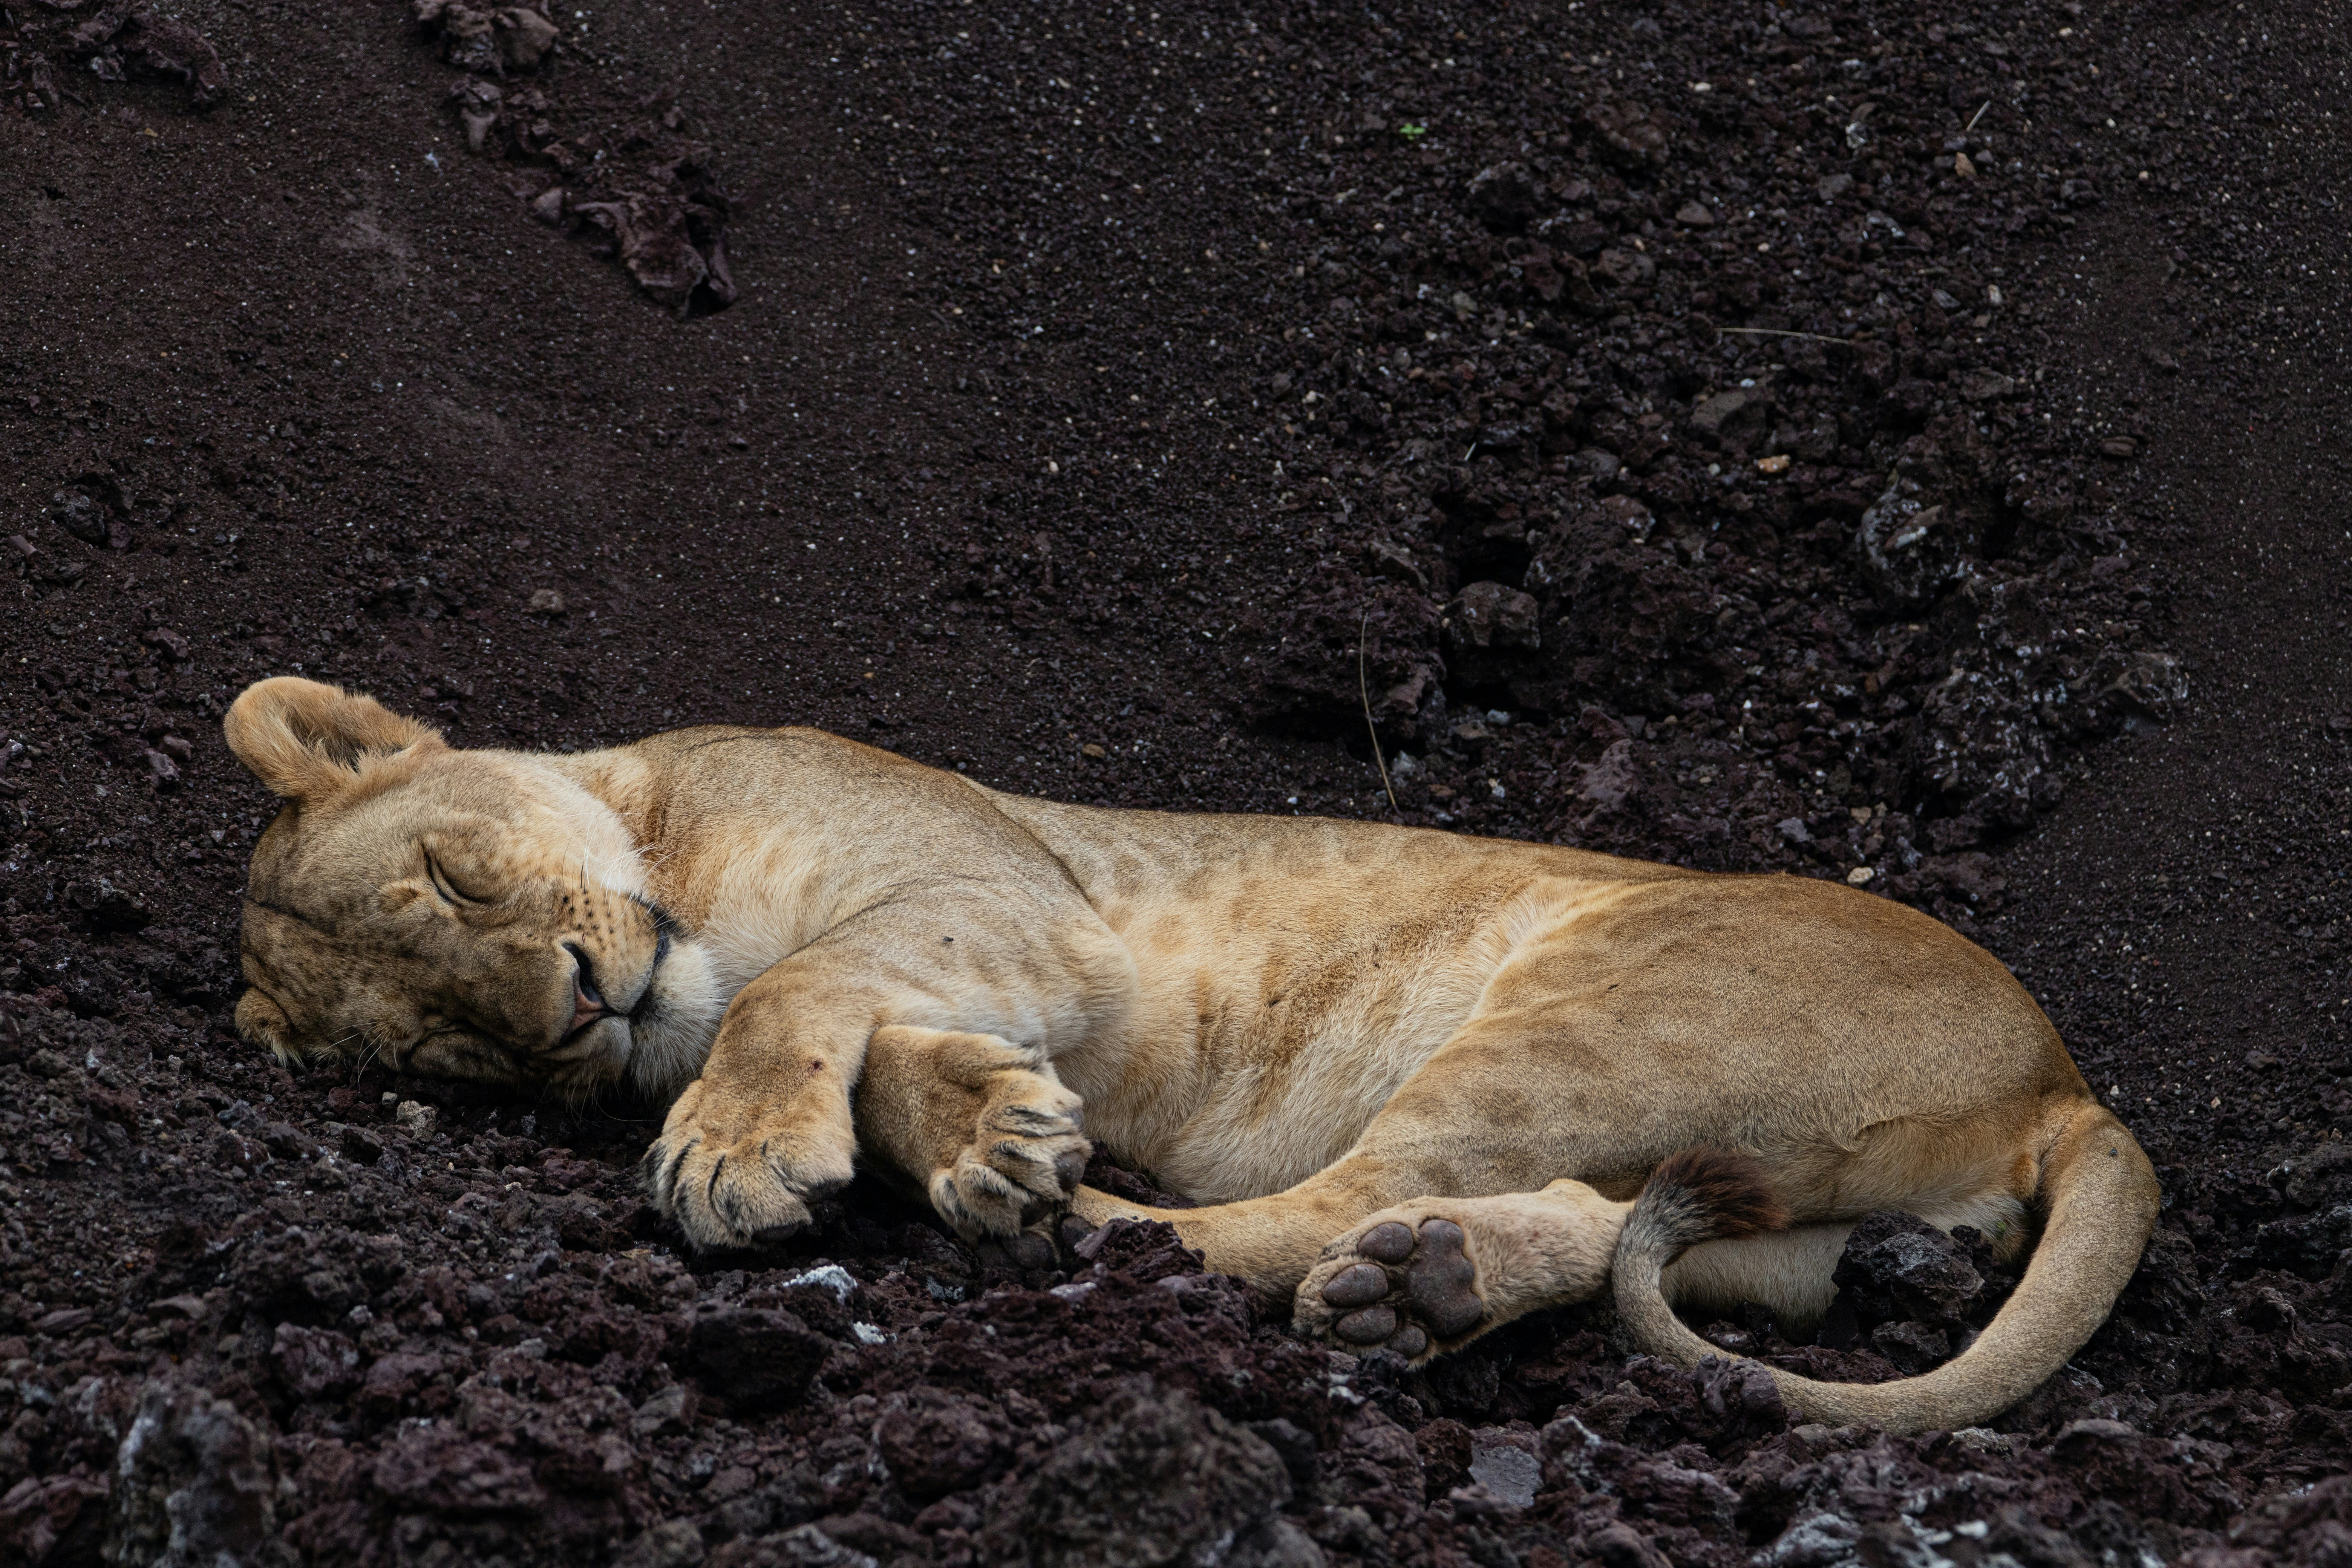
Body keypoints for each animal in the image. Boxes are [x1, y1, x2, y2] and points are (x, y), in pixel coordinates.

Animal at [223, 677, 2158, 1433]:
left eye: (454, 872)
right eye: (461, 1050)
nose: (576, 1004)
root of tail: (2068, 1079)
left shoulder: (1007, 891)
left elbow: (807, 994)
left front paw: (741, 1150)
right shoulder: (1008, 945)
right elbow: (881, 1040)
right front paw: (991, 1134)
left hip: (1593, 1005)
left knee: (1330, 1201)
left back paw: (1121, 1240)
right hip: (1762, 1202)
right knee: (1640, 1238)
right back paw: (1425, 1287)